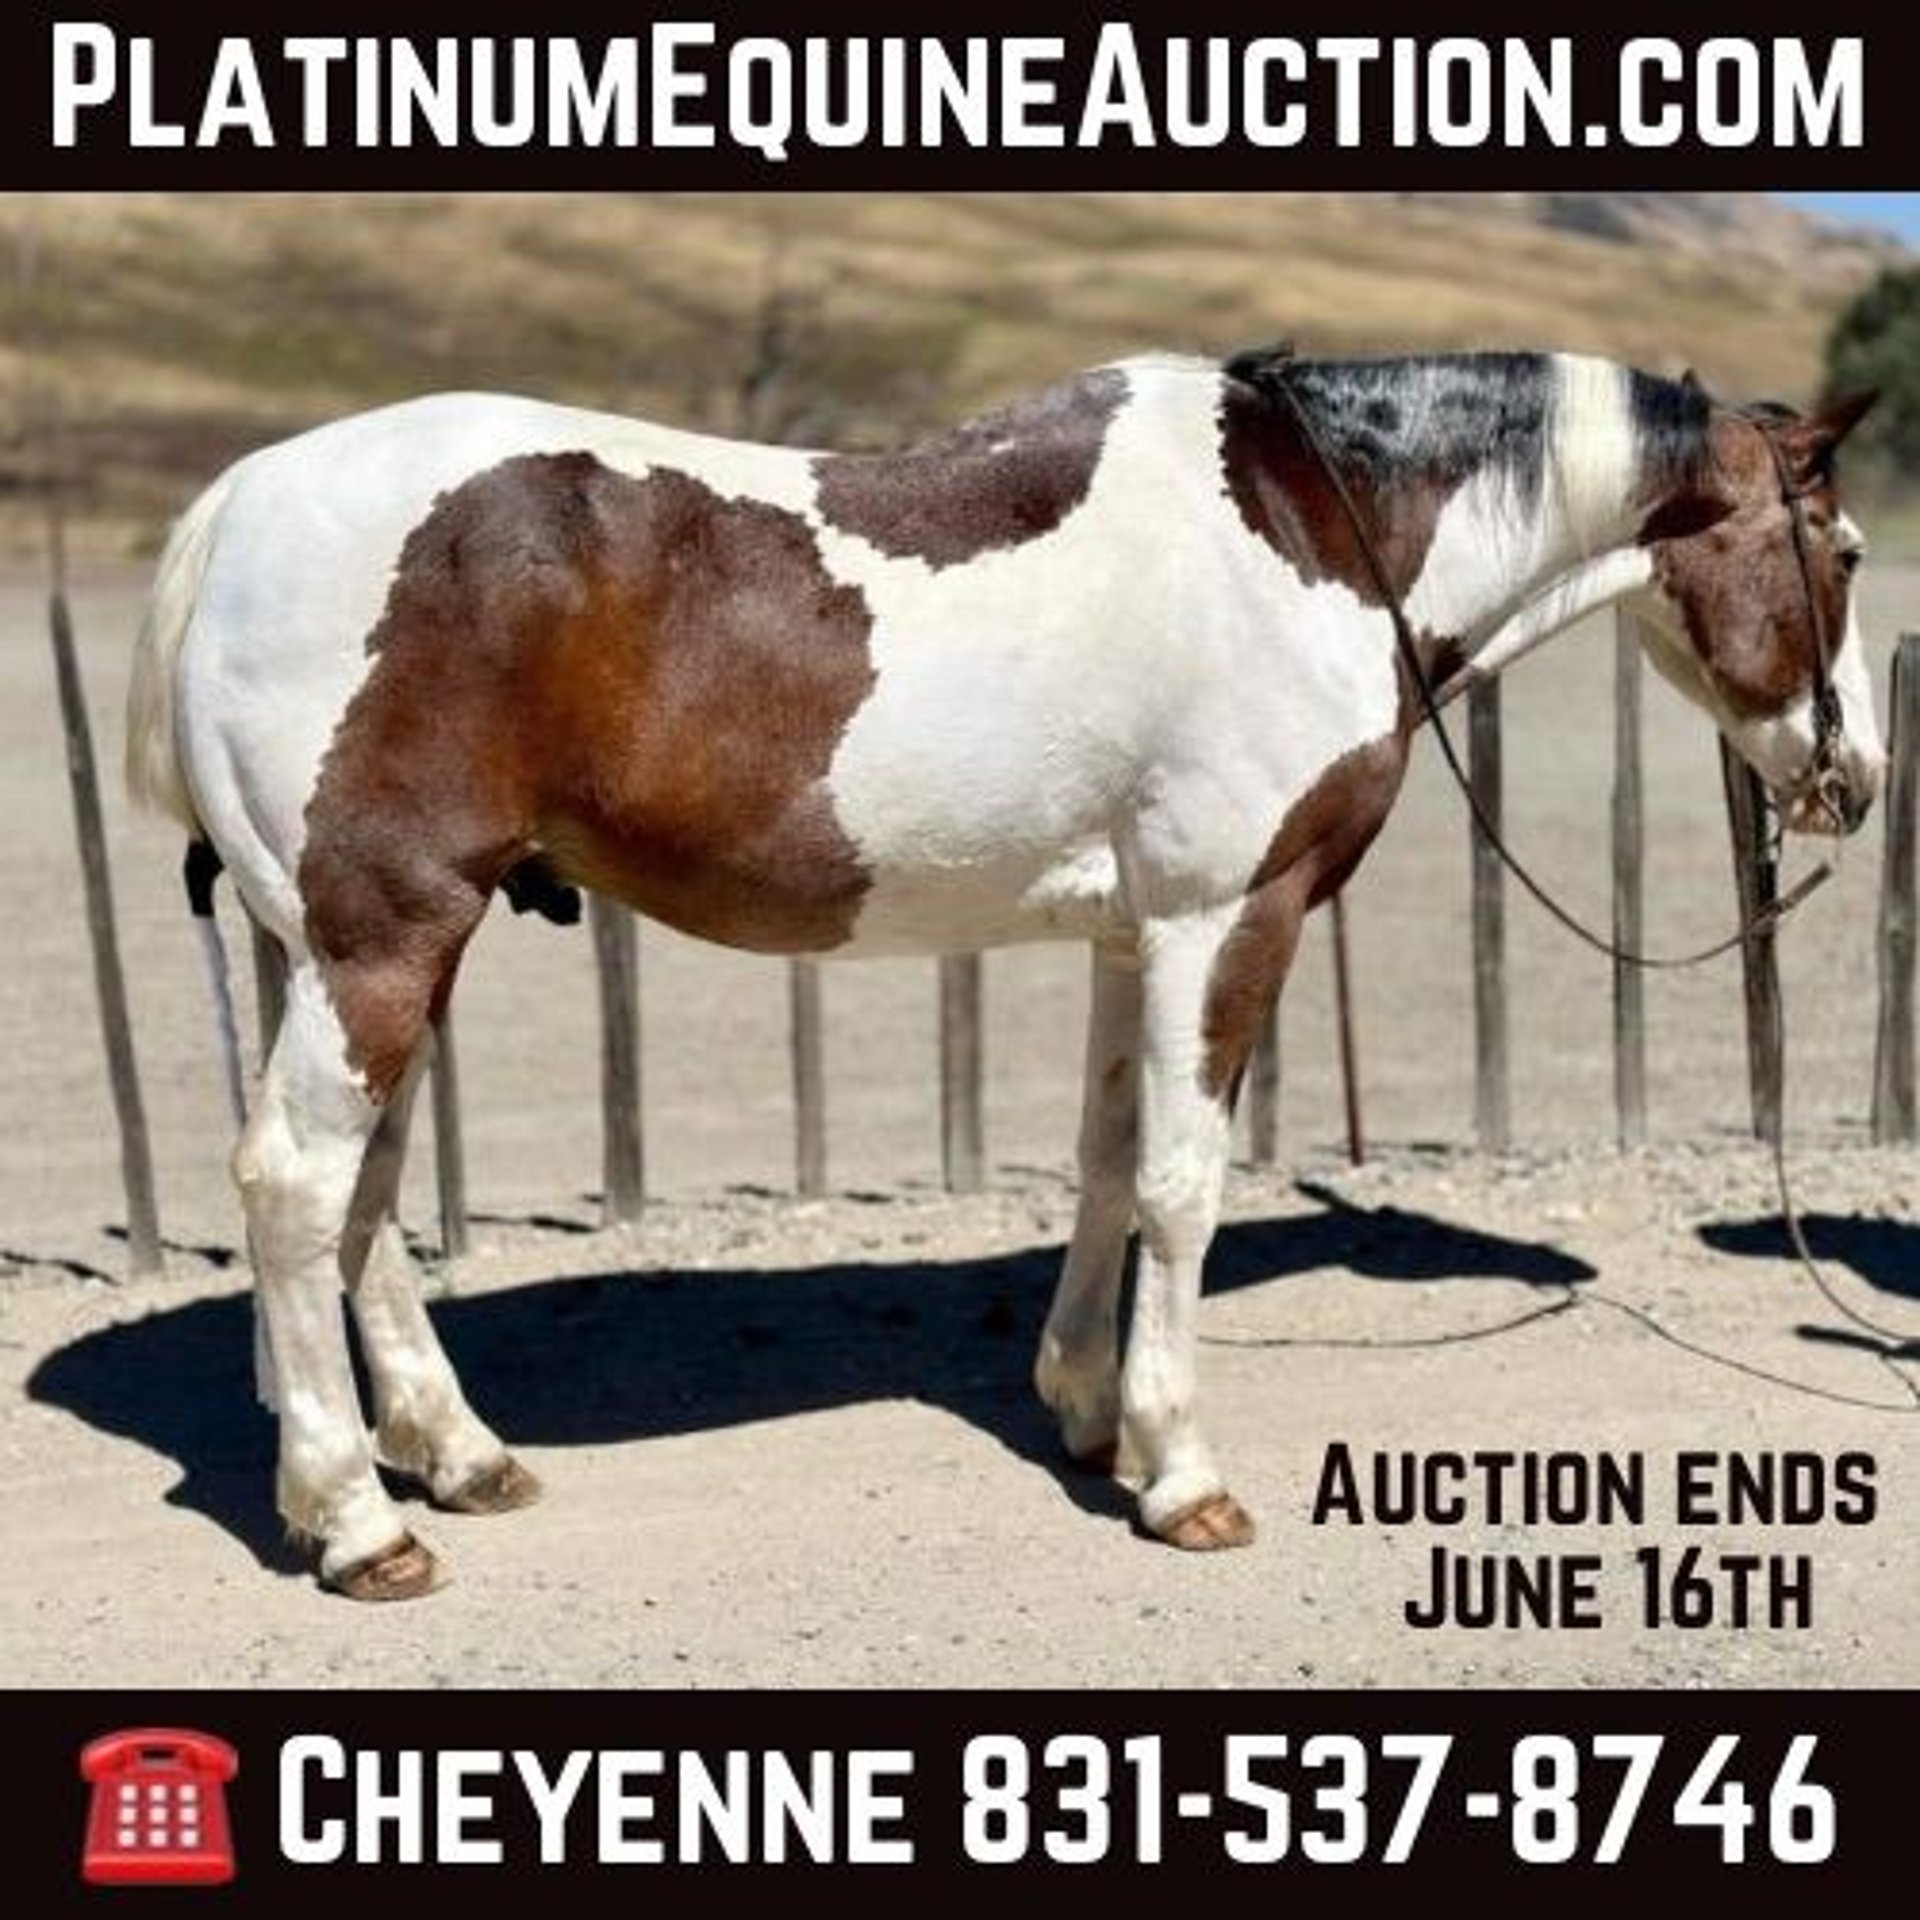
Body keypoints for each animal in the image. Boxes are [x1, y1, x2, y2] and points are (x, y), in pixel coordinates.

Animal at [126, 345, 1882, 1600]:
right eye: (1852, 554)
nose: (1856, 783)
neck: (1308, 533)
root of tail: (237, 505)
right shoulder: (1227, 915)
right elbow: (1183, 1182)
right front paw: (1182, 1473)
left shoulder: (1130, 929)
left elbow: (1110, 1162)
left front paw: (1090, 1411)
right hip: (384, 934)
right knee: (299, 1187)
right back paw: (357, 1522)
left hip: (362, 948)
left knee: (361, 1205)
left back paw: (452, 1457)